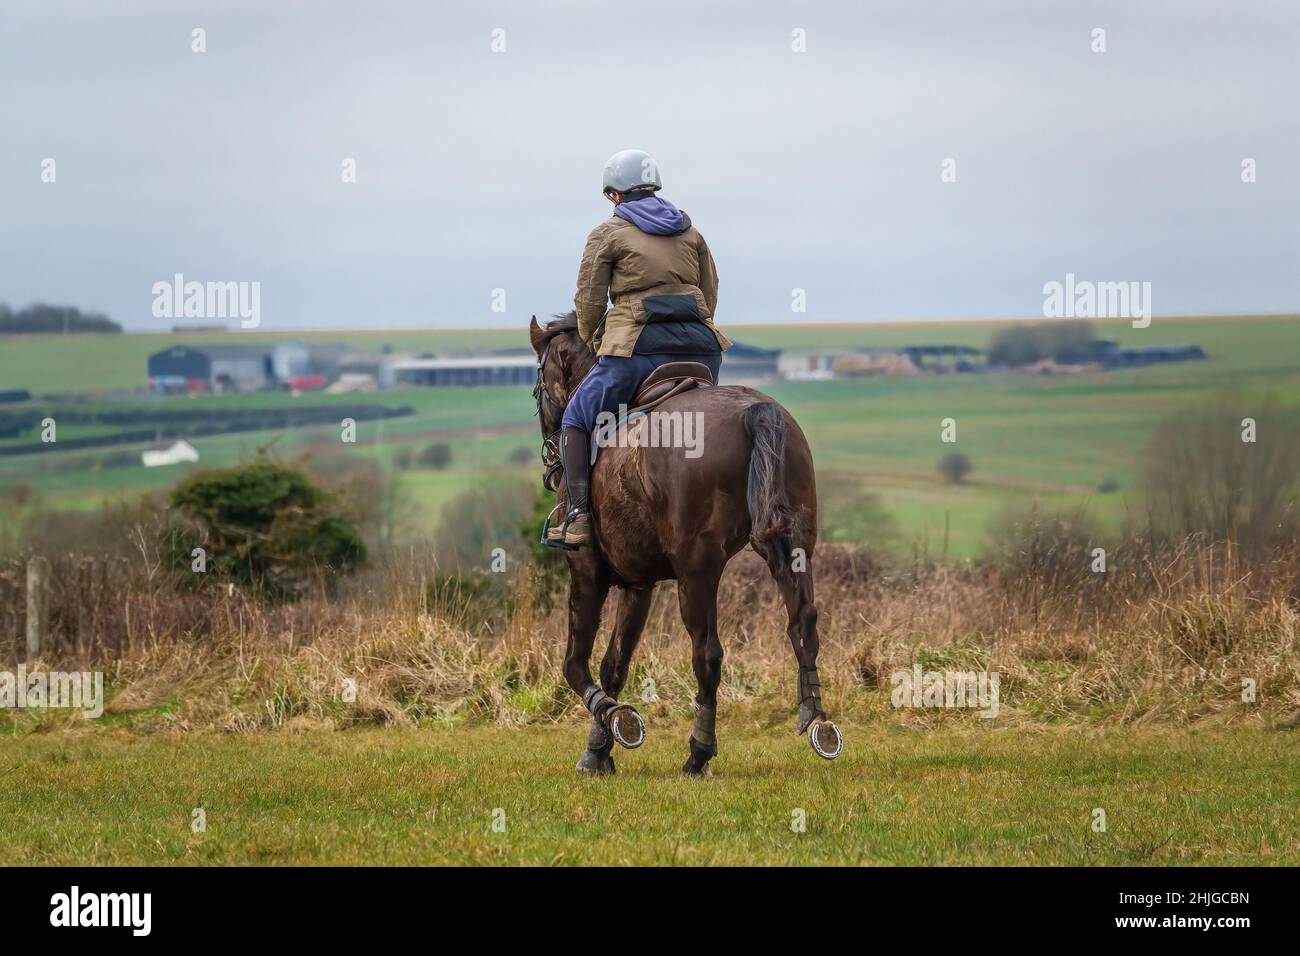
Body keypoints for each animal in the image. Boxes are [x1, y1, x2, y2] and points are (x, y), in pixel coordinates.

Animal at [529, 312, 842, 775]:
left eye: (538, 384)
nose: (551, 460)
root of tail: (756, 412)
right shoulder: (638, 585)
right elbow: (614, 664)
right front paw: (599, 749)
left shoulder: (586, 573)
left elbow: (575, 663)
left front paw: (616, 721)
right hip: (793, 547)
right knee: (802, 624)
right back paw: (816, 718)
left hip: (697, 570)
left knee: (707, 654)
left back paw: (699, 753)